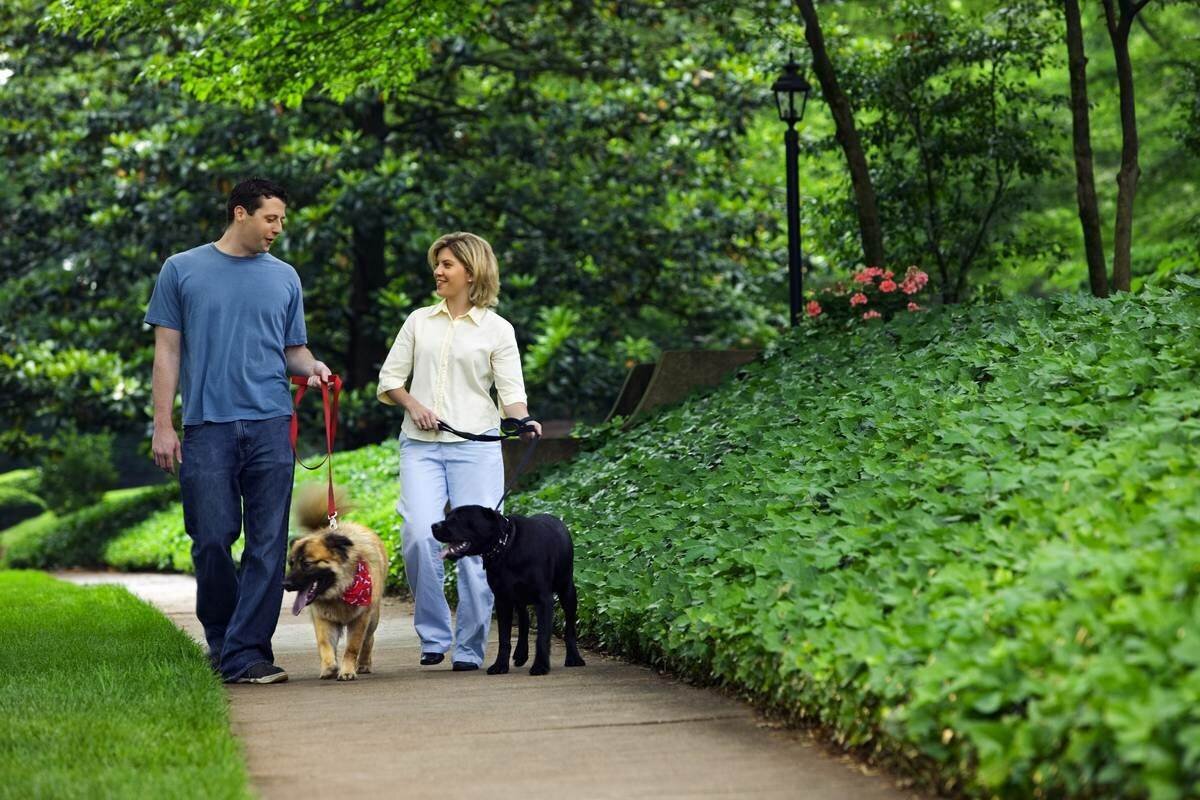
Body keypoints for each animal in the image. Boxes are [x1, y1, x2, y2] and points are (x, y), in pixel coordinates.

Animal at [283, 482, 386, 681]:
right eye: (291, 563)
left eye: (306, 564)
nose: (285, 585)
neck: (341, 590)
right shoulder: (323, 618)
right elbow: (324, 644)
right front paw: (329, 666)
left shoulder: (360, 619)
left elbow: (352, 647)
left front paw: (347, 670)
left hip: (373, 618)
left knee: (368, 640)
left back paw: (364, 663)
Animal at [432, 506, 585, 676]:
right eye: (447, 516)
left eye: (457, 519)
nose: (433, 526)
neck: (506, 546)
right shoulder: (502, 600)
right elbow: (504, 638)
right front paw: (500, 665)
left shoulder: (544, 600)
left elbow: (542, 636)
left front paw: (540, 666)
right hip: (519, 597)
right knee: (524, 619)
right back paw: (521, 654)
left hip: (567, 591)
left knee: (570, 627)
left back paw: (574, 657)